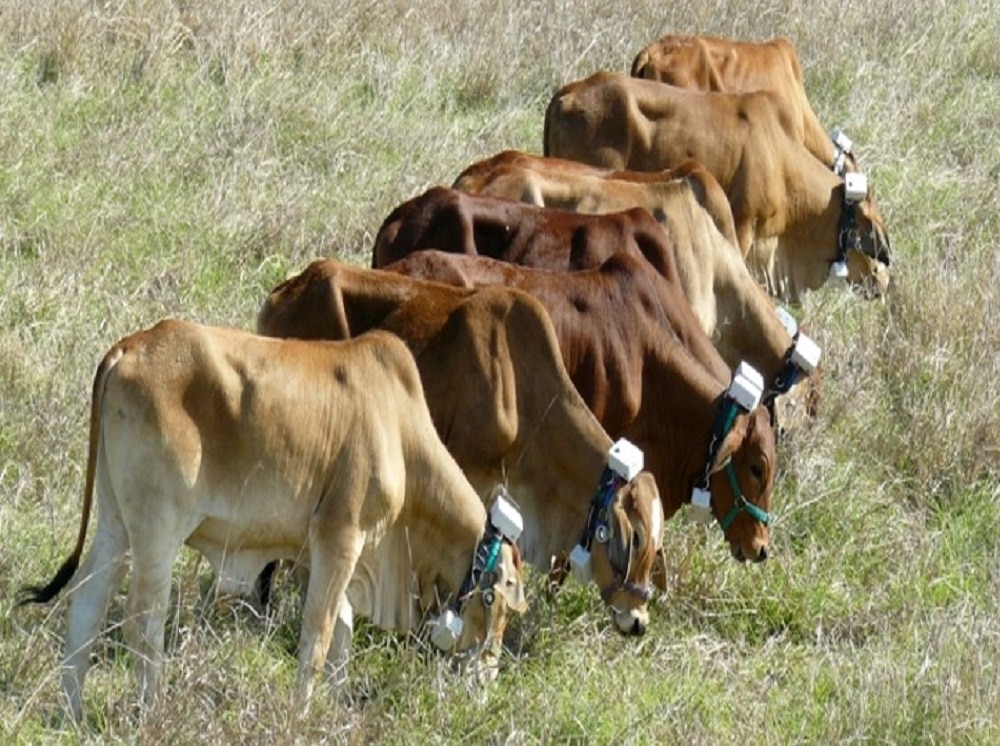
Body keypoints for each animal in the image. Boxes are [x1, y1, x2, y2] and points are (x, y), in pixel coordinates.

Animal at [17, 321, 529, 719]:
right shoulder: (340, 537)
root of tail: (133, 345)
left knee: (86, 604)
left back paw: (72, 714)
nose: (489, 677)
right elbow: (318, 639)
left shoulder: (343, 554)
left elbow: (341, 638)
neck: (402, 437)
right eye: (503, 599)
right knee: (142, 623)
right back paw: (152, 714)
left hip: (114, 524)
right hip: (155, 530)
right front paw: (301, 715)